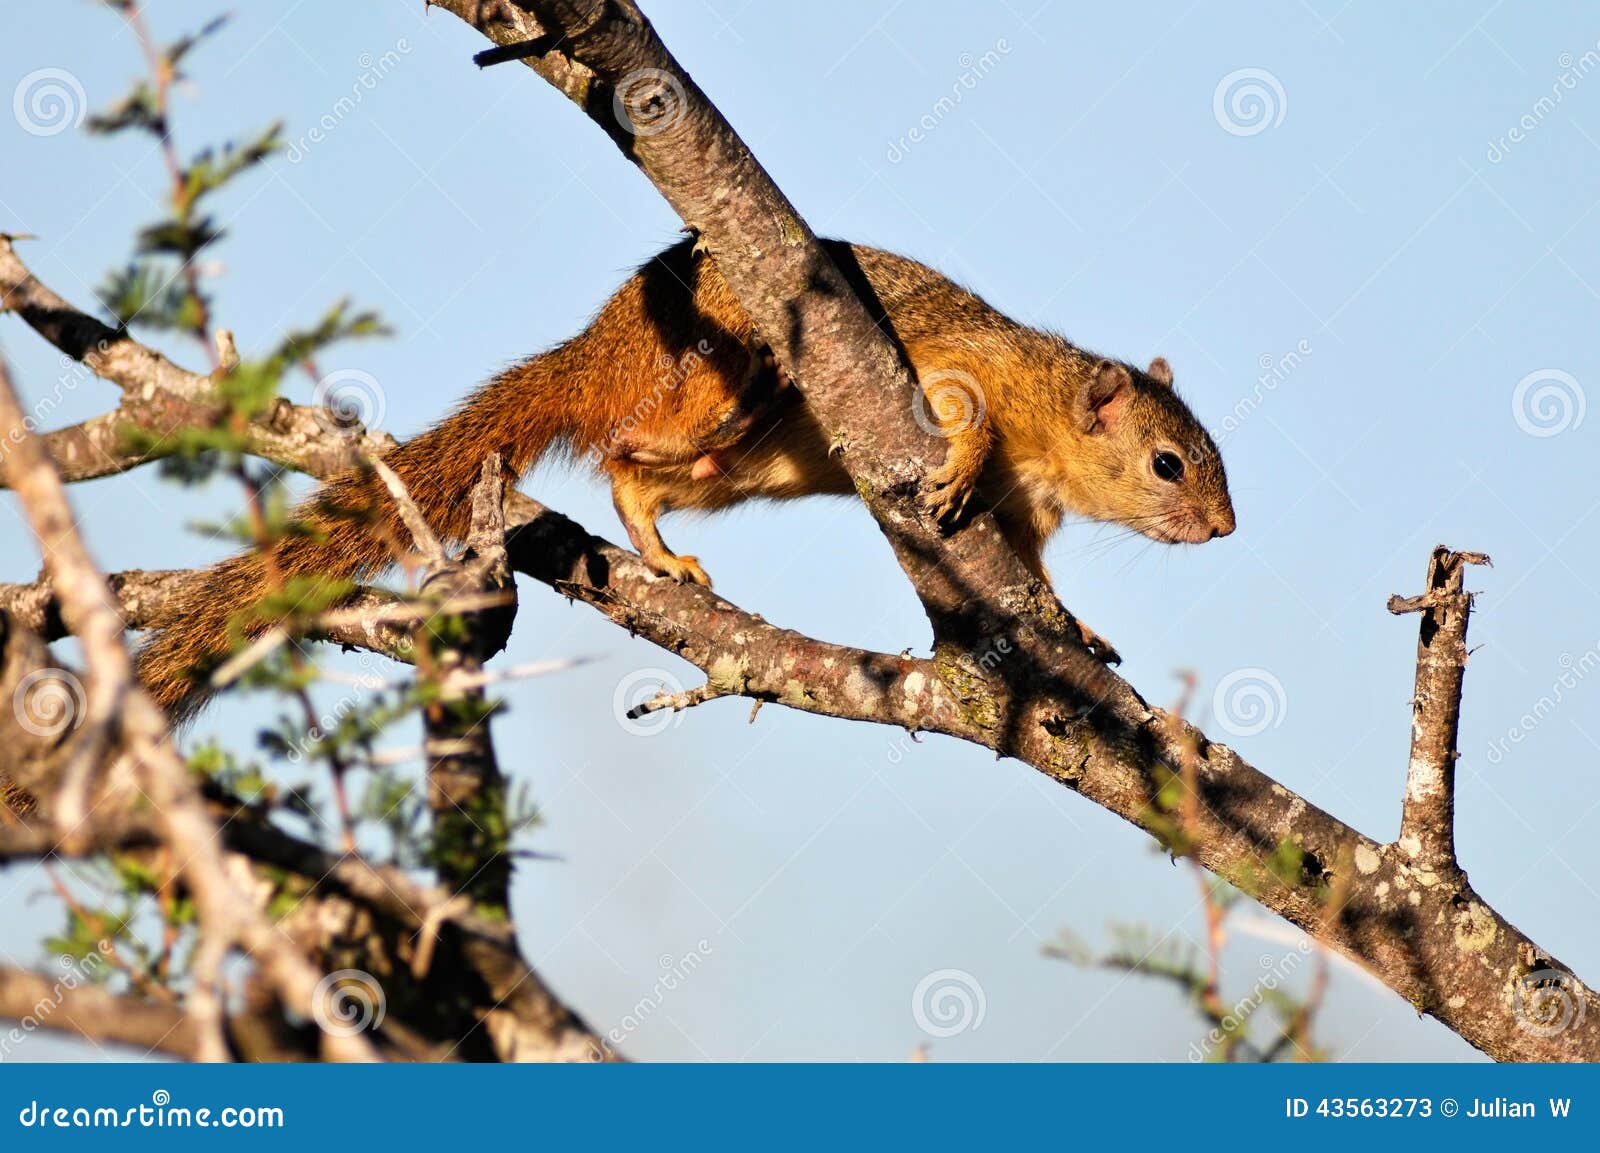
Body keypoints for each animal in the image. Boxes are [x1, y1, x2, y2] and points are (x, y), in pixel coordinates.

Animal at [134, 237, 1235, 717]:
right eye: (1167, 463)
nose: (1223, 528)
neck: (1048, 417)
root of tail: (596, 353)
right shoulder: (962, 372)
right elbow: (961, 419)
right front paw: (956, 469)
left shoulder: (1032, 519)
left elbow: (1040, 584)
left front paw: (1080, 630)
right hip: (713, 380)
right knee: (627, 454)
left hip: (738, 468)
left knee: (642, 476)